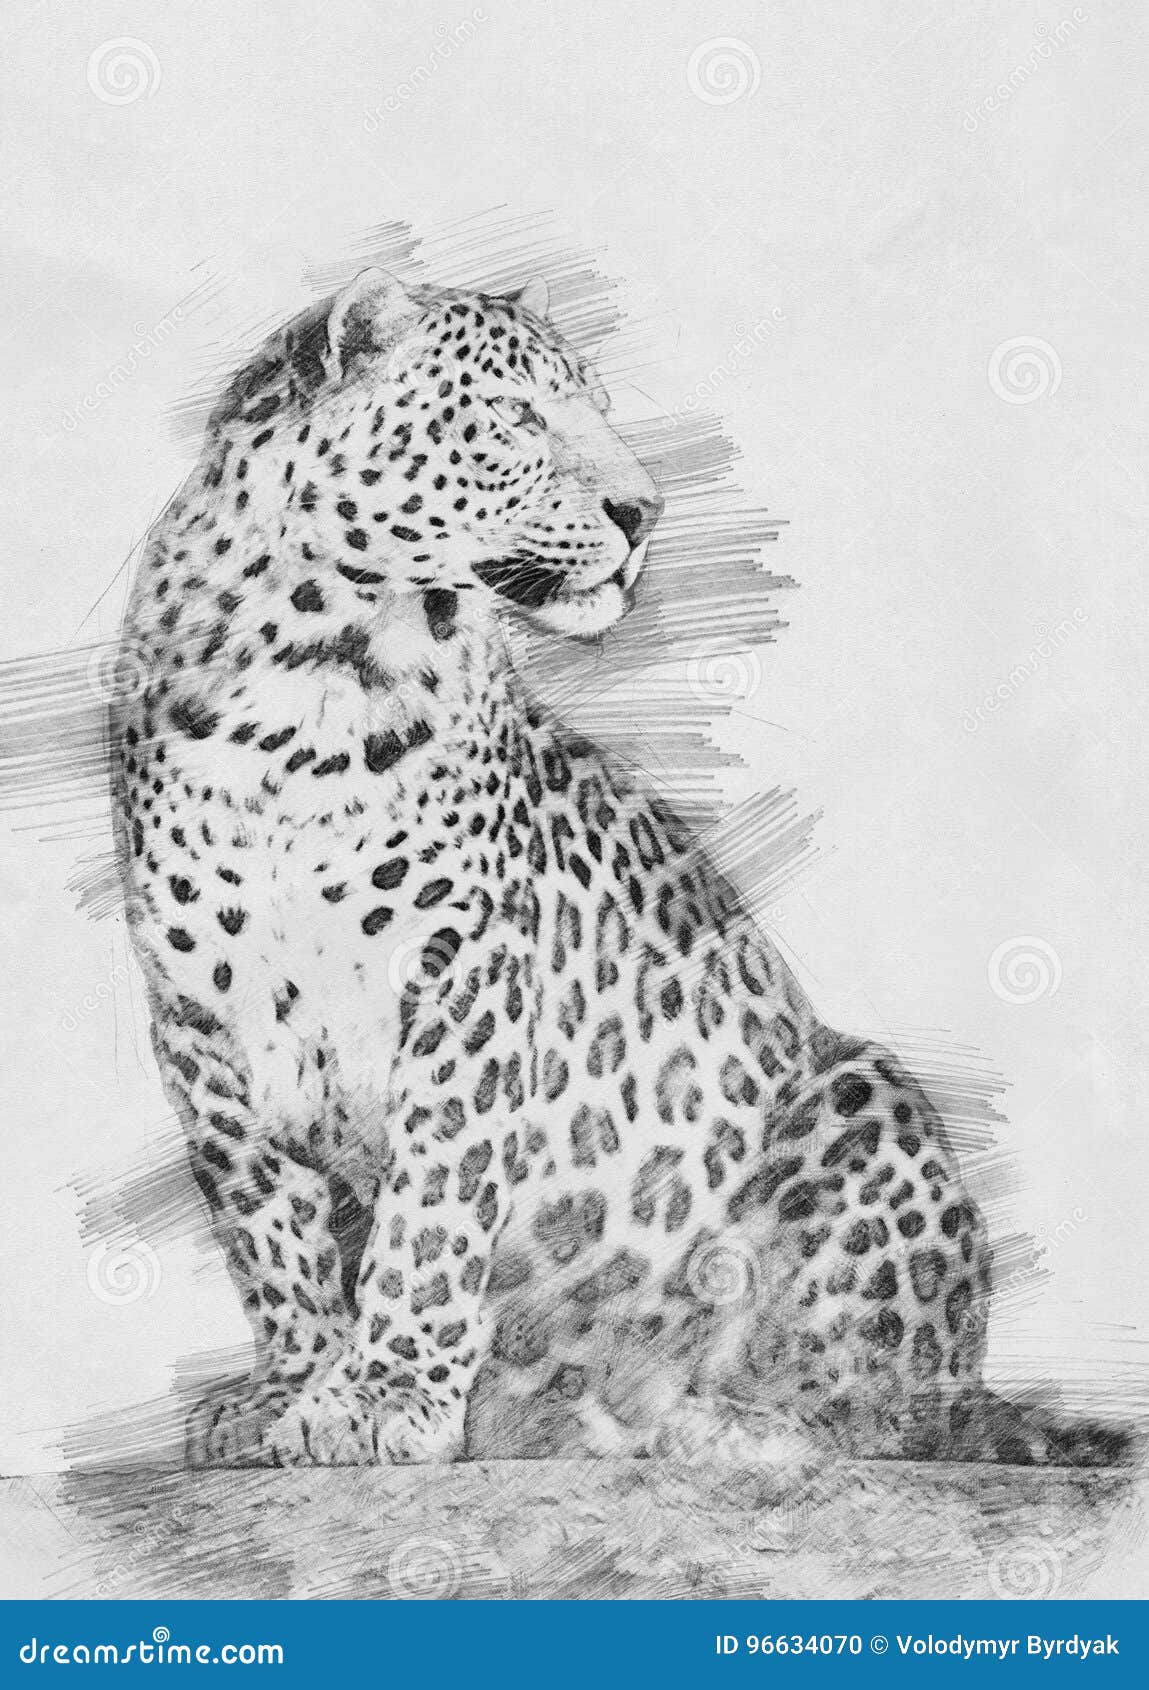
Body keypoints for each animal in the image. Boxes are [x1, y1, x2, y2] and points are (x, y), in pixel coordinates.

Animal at [111, 266, 1128, 1472]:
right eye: (514, 416)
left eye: (596, 410)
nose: (642, 513)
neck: (308, 675)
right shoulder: (197, 1016)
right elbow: (265, 1222)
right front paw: (290, 1387)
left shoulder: (467, 976)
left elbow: (432, 1205)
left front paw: (384, 1397)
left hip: (863, 1104)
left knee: (882, 1411)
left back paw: (711, 1423)